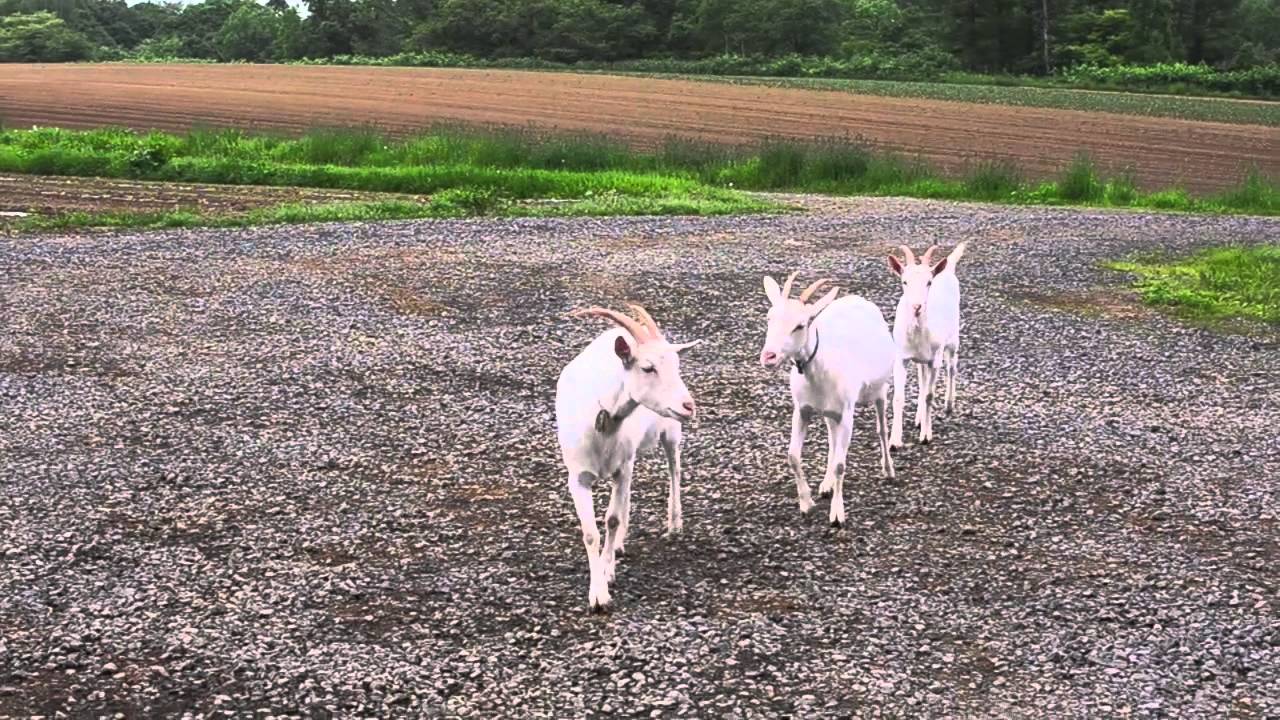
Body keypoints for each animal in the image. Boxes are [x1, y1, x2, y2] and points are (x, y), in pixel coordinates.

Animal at [555, 304, 702, 612]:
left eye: (677, 365)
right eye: (648, 367)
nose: (688, 406)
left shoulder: (621, 468)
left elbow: (610, 520)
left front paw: (606, 575)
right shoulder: (578, 477)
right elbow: (590, 532)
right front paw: (597, 594)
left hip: (669, 431)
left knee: (674, 468)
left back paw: (674, 524)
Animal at [758, 273, 896, 527]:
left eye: (800, 325)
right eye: (769, 318)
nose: (769, 356)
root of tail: (858, 299)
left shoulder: (848, 413)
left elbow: (842, 464)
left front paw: (837, 514)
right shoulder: (801, 410)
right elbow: (793, 456)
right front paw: (806, 503)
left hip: (880, 390)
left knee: (881, 429)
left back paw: (889, 470)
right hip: (831, 414)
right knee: (833, 440)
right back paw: (826, 484)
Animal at [887, 242, 968, 448]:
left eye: (929, 282)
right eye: (904, 282)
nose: (916, 307)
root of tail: (946, 269)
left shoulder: (935, 359)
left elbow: (929, 395)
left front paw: (925, 435)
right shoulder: (901, 358)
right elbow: (899, 396)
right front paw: (895, 440)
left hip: (953, 340)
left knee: (952, 367)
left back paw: (948, 405)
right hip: (921, 360)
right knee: (922, 379)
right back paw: (918, 418)